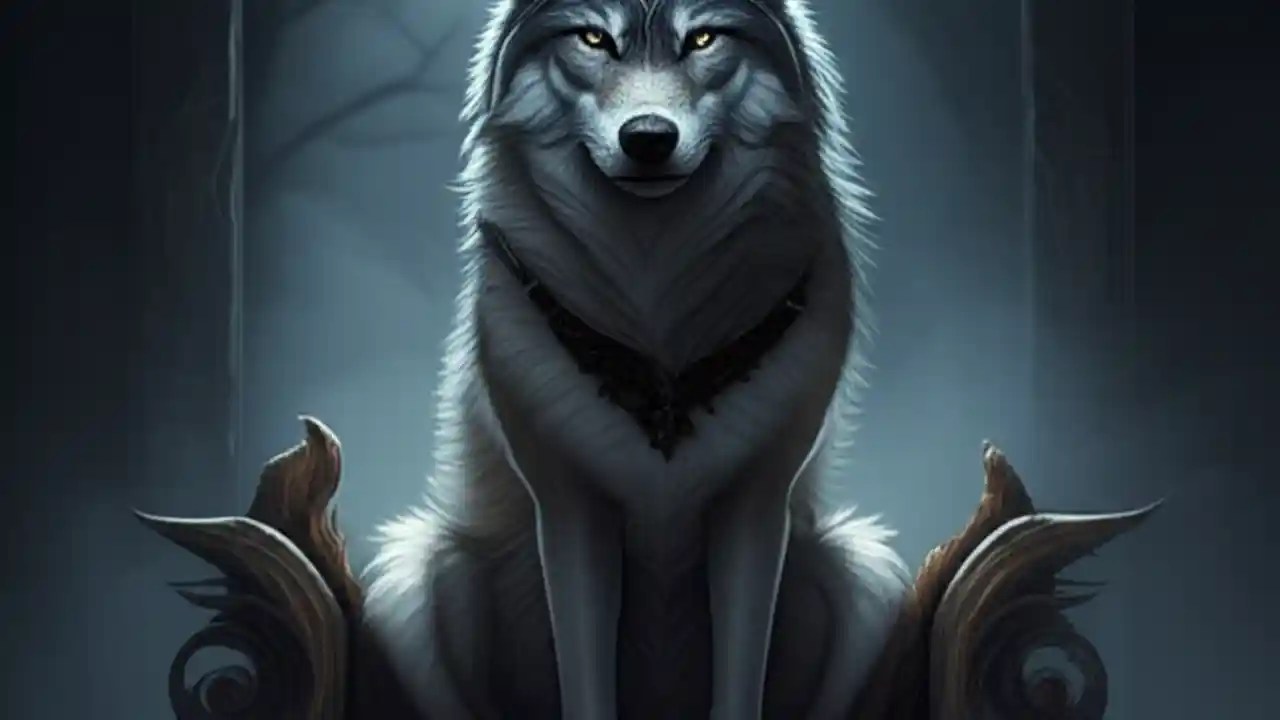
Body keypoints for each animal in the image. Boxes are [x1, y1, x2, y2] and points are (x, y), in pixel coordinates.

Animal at [365, 1, 909, 718]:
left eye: (701, 37)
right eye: (594, 38)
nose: (648, 138)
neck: (656, 292)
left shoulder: (757, 506)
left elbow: (743, 678)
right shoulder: (570, 509)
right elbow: (586, 678)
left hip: (863, 573)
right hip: (413, 579)